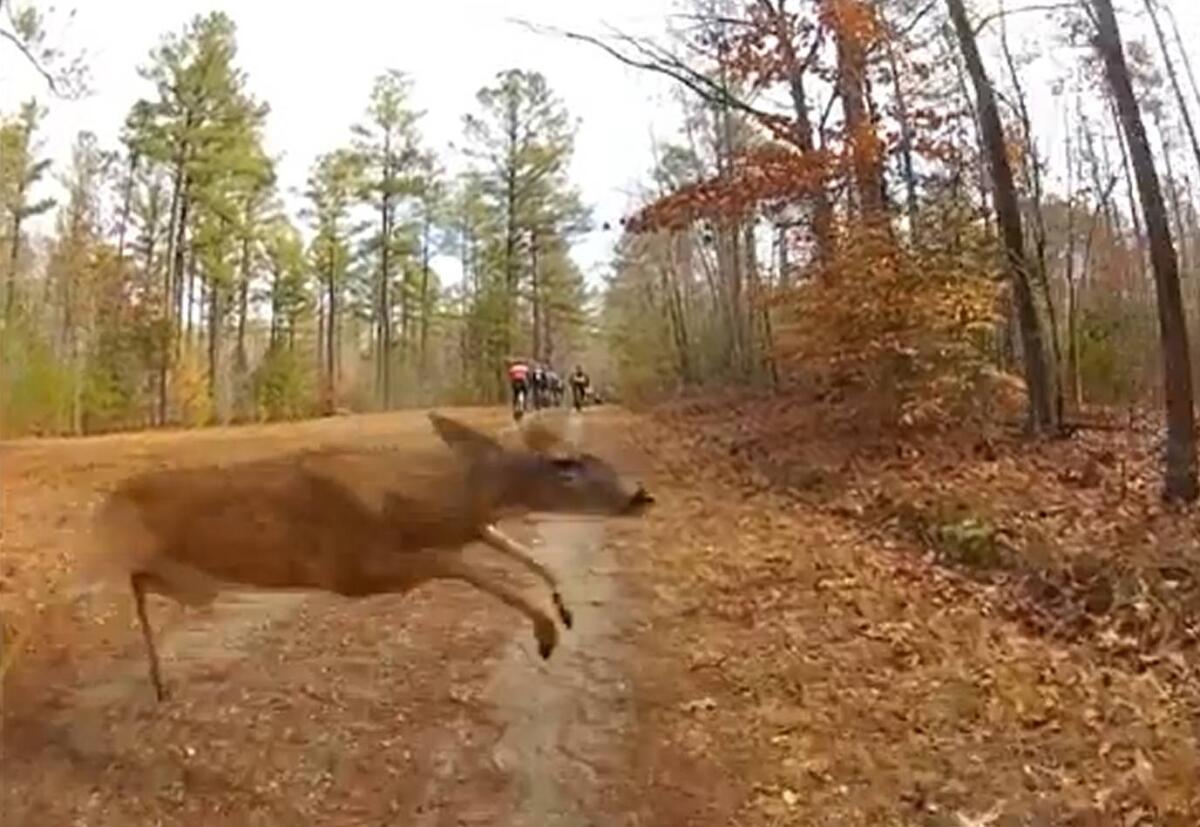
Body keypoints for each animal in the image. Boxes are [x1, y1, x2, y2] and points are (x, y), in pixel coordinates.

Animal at [79, 411, 654, 701]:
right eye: (563, 464)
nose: (640, 494)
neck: (416, 505)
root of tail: (104, 501)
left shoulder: (458, 531)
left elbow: (505, 548)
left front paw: (565, 609)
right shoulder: (356, 570)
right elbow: (463, 565)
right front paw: (546, 632)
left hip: (196, 583)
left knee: (142, 583)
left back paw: (160, 681)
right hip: (147, 565)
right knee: (123, 582)